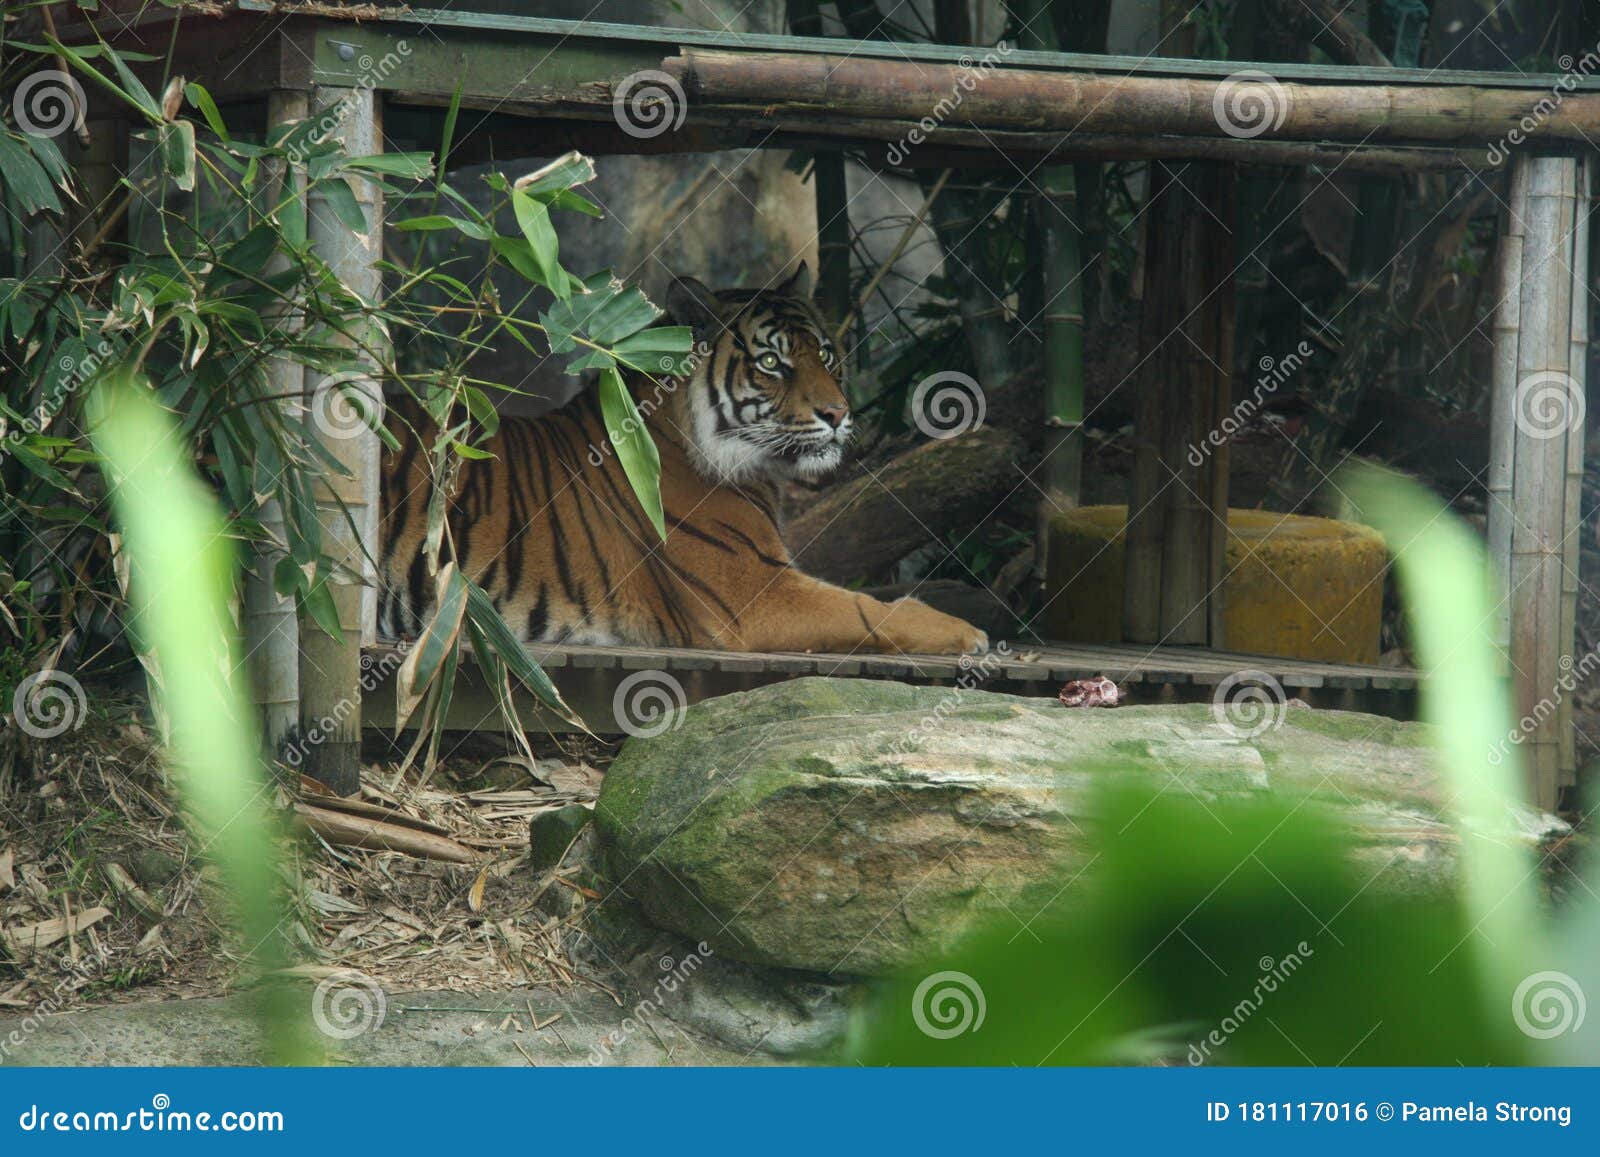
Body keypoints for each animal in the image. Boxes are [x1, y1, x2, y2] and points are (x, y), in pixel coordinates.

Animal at [378, 264, 989, 656]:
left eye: (825, 353)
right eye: (772, 362)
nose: (839, 413)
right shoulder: (755, 594)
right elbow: (870, 609)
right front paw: (969, 633)